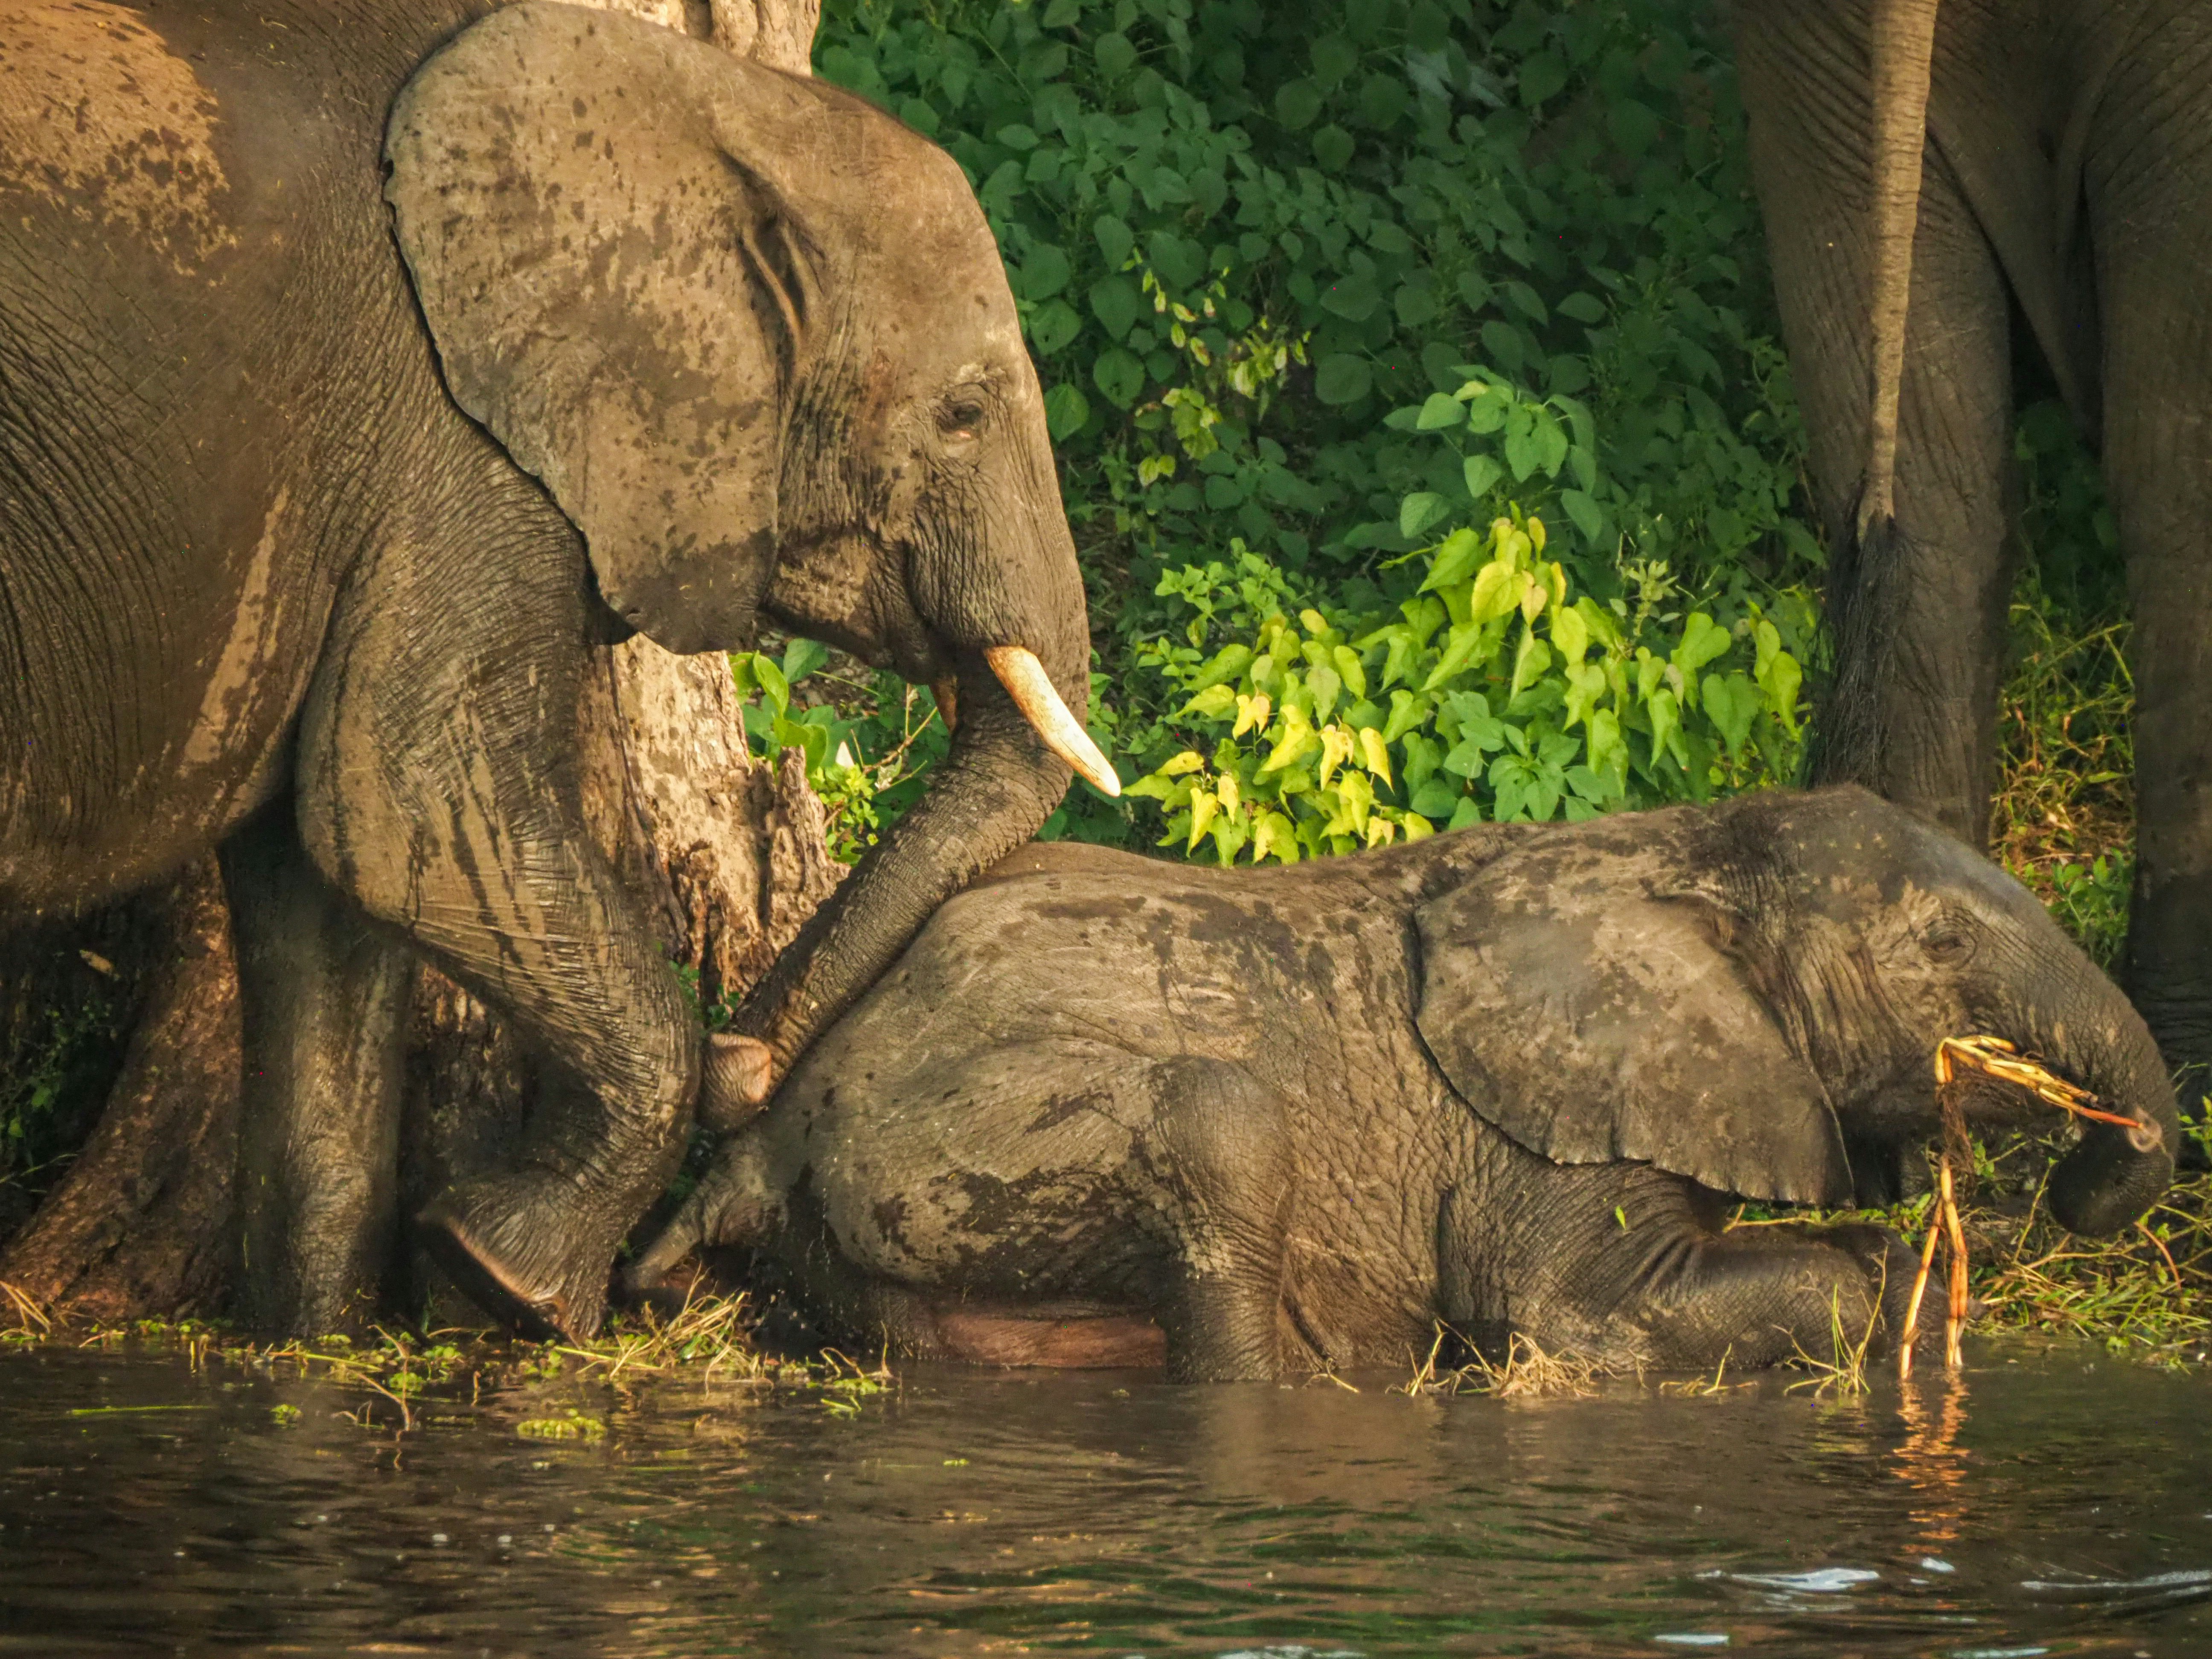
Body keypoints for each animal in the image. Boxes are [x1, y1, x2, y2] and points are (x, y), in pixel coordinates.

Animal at [0, 0, 1114, 1338]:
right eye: (961, 414)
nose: (748, 1055)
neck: (712, 108)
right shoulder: (455, 439)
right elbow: (402, 805)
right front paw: (511, 1286)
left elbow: (329, 900)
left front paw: (314, 1352)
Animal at [629, 787, 2178, 1382]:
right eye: (1941, 954)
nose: (2092, 1172)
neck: (1691, 846)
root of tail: (759, 1141)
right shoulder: (1551, 1125)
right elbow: (1563, 1312)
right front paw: (1892, 1285)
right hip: (920, 1147)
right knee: (1223, 1125)